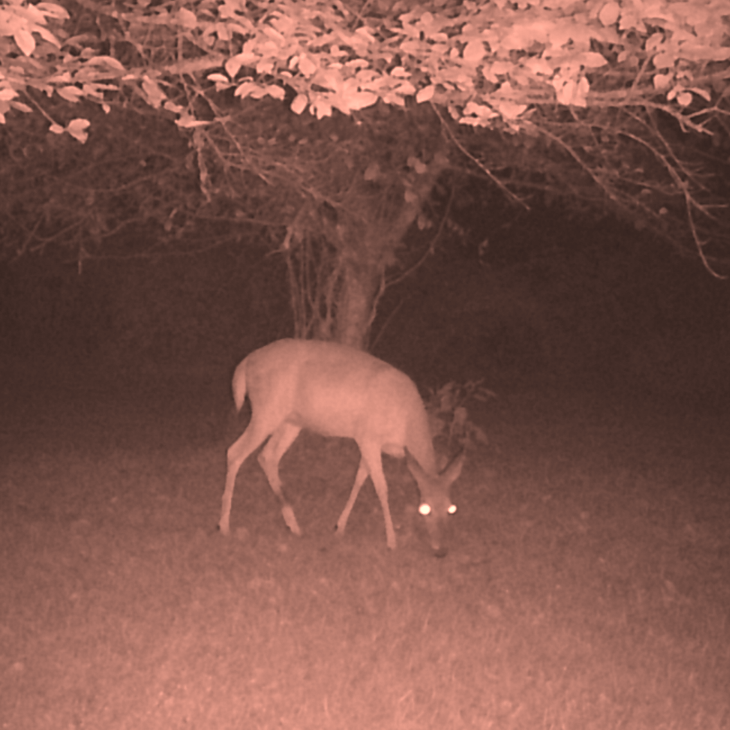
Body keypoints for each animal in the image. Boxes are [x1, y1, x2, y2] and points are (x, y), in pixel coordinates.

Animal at [219, 338, 464, 556]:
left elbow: (360, 478)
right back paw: (224, 525)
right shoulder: (368, 436)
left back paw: (294, 525)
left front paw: (339, 527)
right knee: (235, 451)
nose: (441, 550)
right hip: (266, 411)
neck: (406, 423)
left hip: (291, 421)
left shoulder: (369, 441)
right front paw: (392, 541)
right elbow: (381, 487)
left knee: (267, 456)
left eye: (451, 509)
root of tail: (245, 363)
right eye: (425, 509)